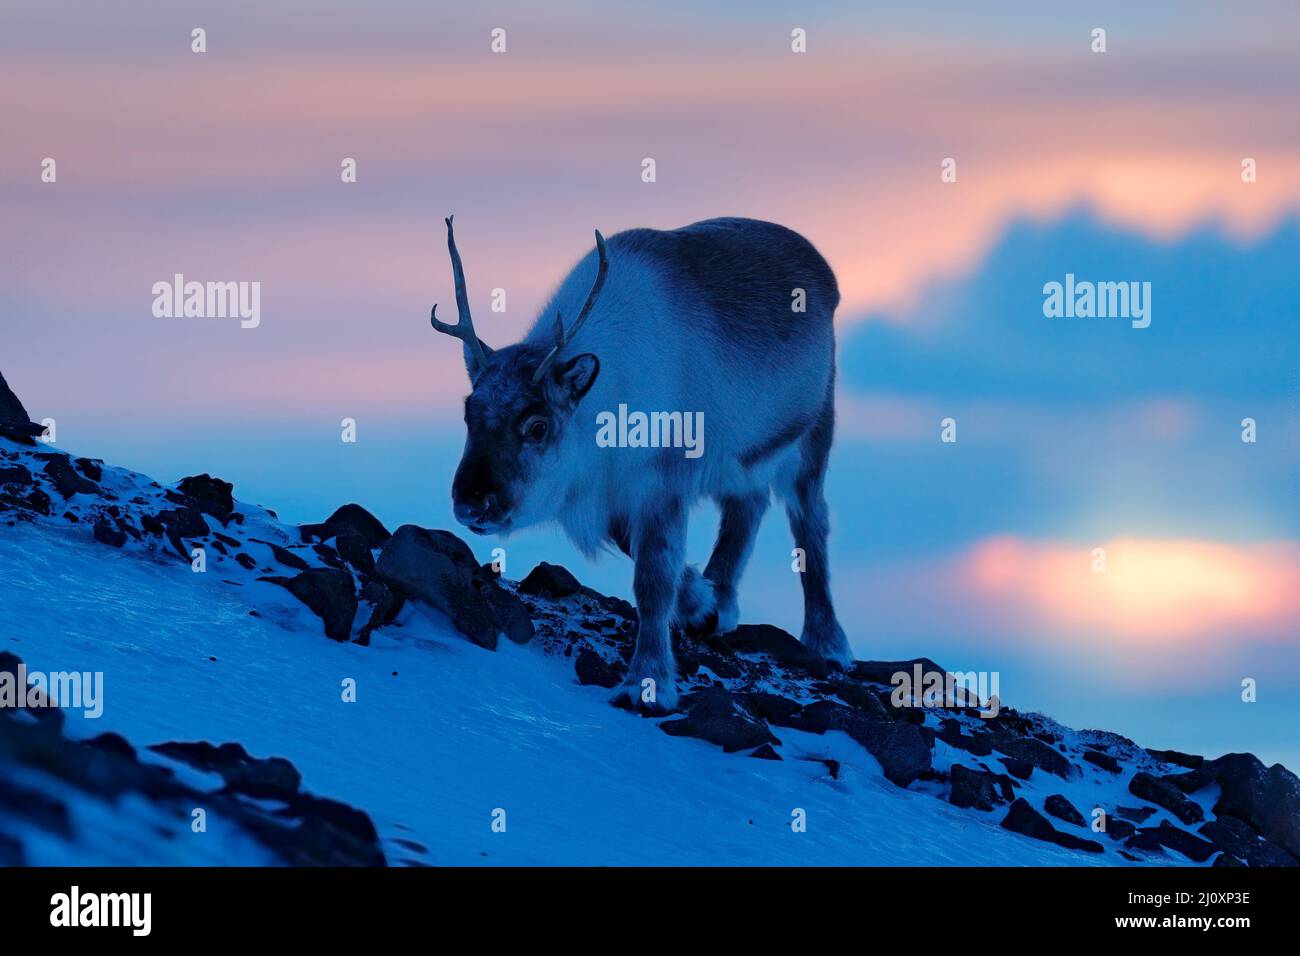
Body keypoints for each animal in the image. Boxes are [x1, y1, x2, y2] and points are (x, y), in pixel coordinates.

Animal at [430, 215, 852, 713]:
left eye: (537, 426)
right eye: (468, 412)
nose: (471, 503)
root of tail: (822, 268)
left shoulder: (662, 482)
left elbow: (654, 580)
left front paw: (647, 685)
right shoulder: (614, 495)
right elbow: (638, 550)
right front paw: (702, 605)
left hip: (812, 433)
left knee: (810, 522)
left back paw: (828, 642)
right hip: (743, 458)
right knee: (746, 507)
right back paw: (723, 602)